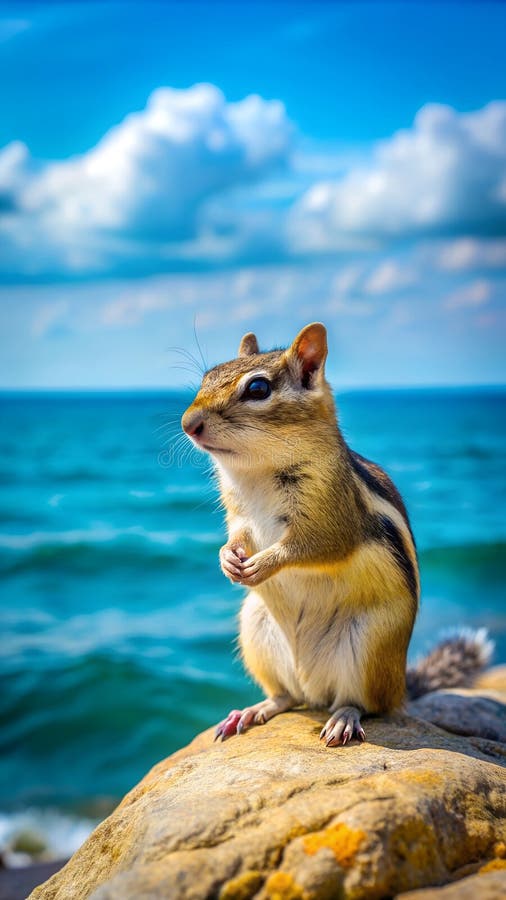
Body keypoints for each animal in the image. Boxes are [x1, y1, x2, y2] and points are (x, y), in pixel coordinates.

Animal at [181, 323, 492, 746]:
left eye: (258, 388)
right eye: (206, 377)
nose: (188, 423)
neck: (255, 471)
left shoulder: (333, 517)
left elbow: (315, 547)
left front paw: (263, 564)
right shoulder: (240, 516)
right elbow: (237, 536)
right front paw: (228, 558)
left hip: (368, 645)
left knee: (364, 704)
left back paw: (344, 718)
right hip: (256, 629)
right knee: (287, 697)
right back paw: (253, 709)